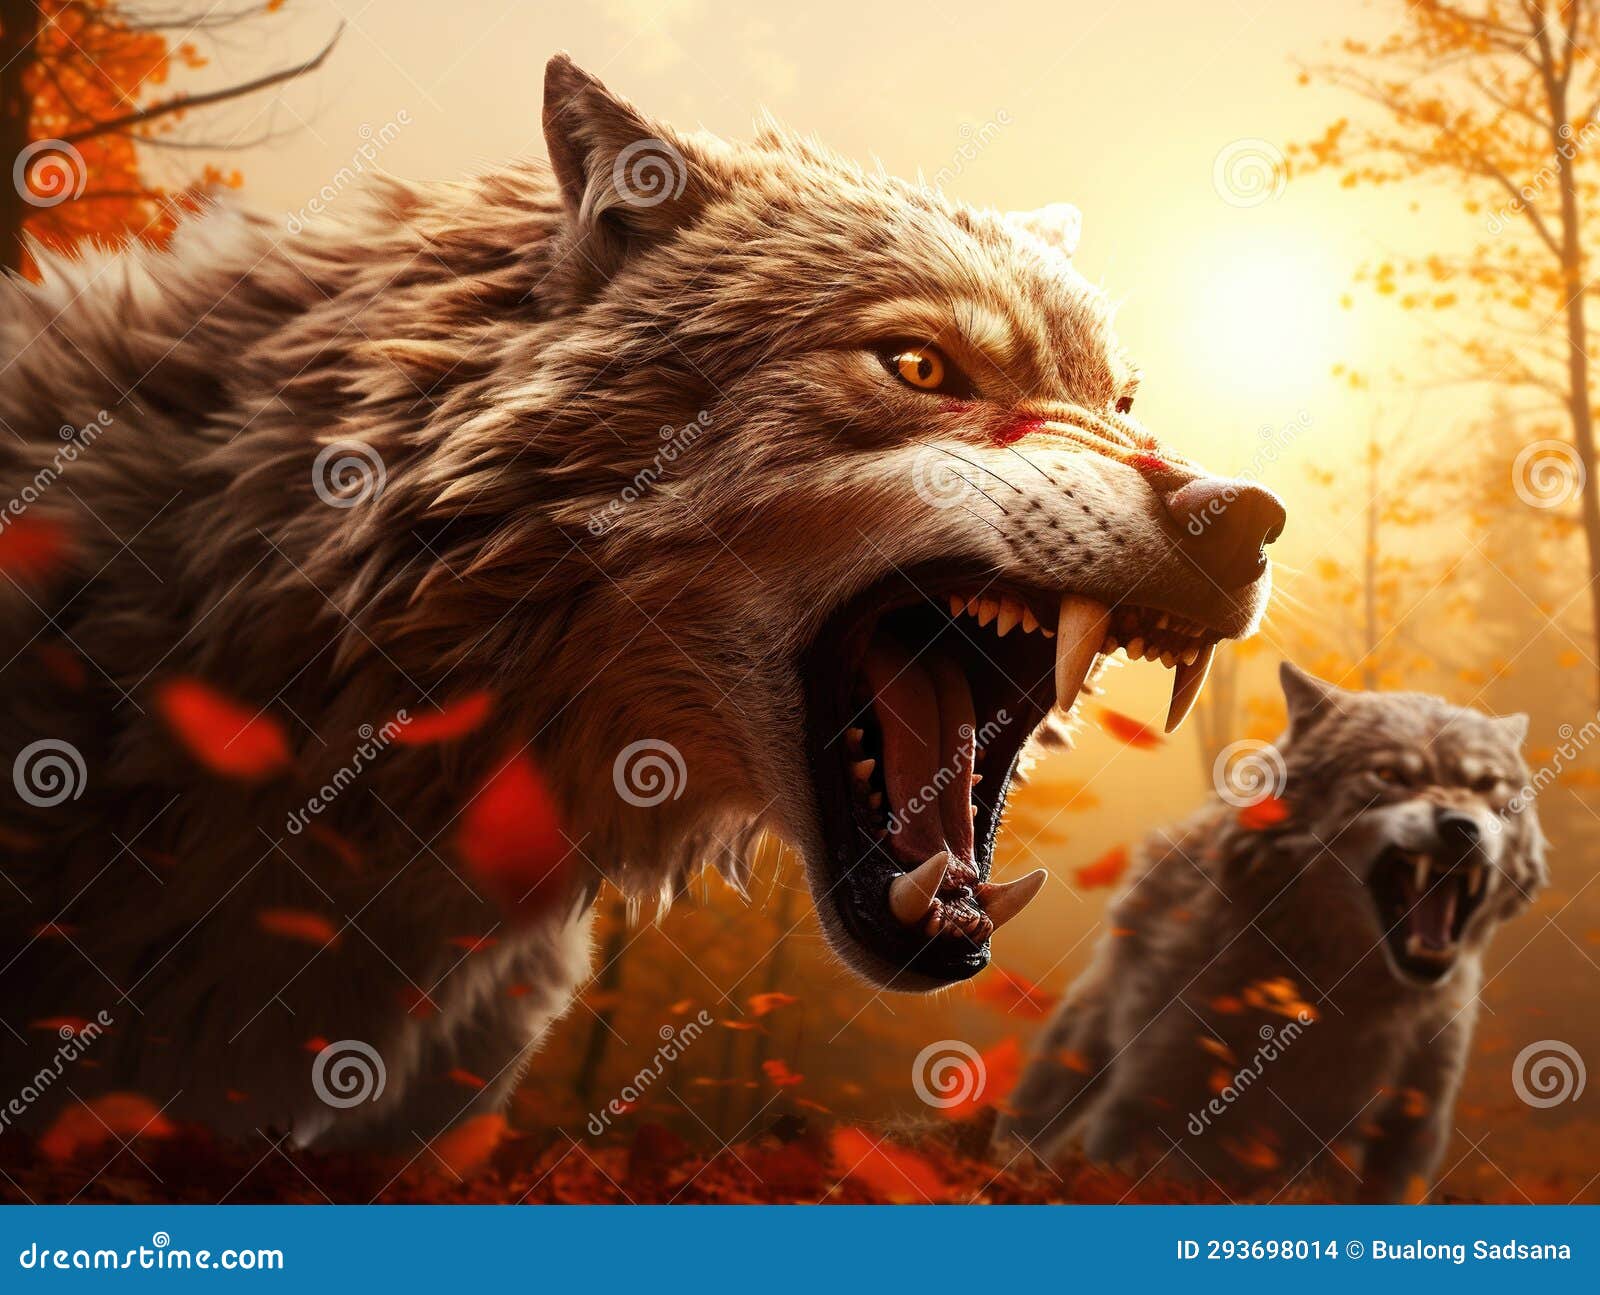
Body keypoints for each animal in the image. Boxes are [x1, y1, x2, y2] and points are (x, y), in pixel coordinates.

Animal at [996, 664, 1546, 1202]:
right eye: (1390, 775)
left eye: (1486, 785)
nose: (1461, 826)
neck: (1344, 995)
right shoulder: (1143, 1101)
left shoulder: (1411, 1131)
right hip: (1088, 1046)